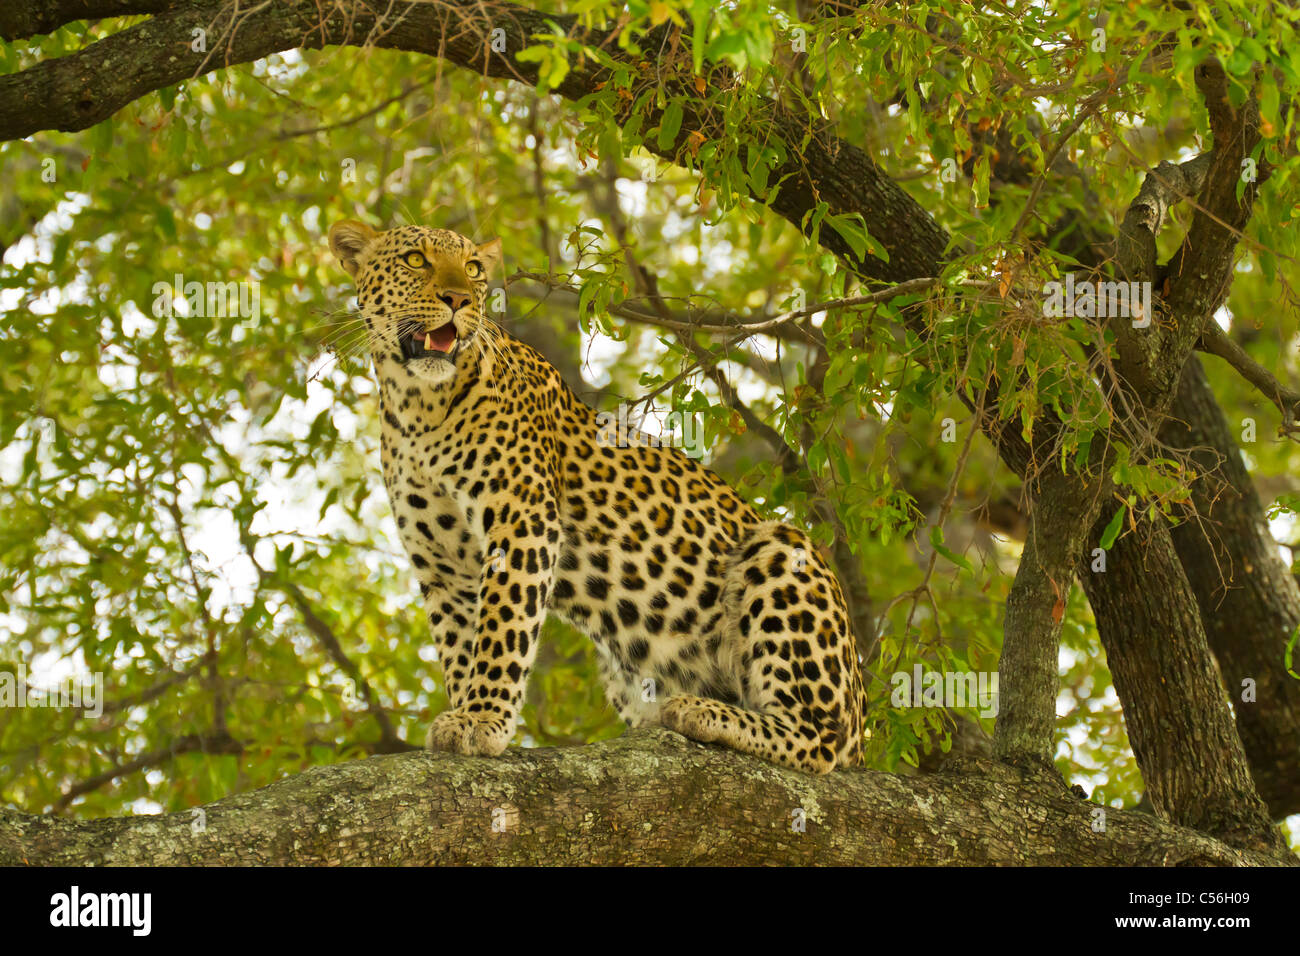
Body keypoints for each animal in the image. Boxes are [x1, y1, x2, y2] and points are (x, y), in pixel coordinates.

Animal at [327, 219, 867, 773]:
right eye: (415, 260)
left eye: (473, 269)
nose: (458, 298)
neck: (418, 404)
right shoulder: (443, 564)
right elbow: (461, 645)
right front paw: (467, 709)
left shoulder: (522, 518)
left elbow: (503, 628)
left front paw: (483, 719)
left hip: (783, 555)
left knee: (818, 738)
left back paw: (701, 713)